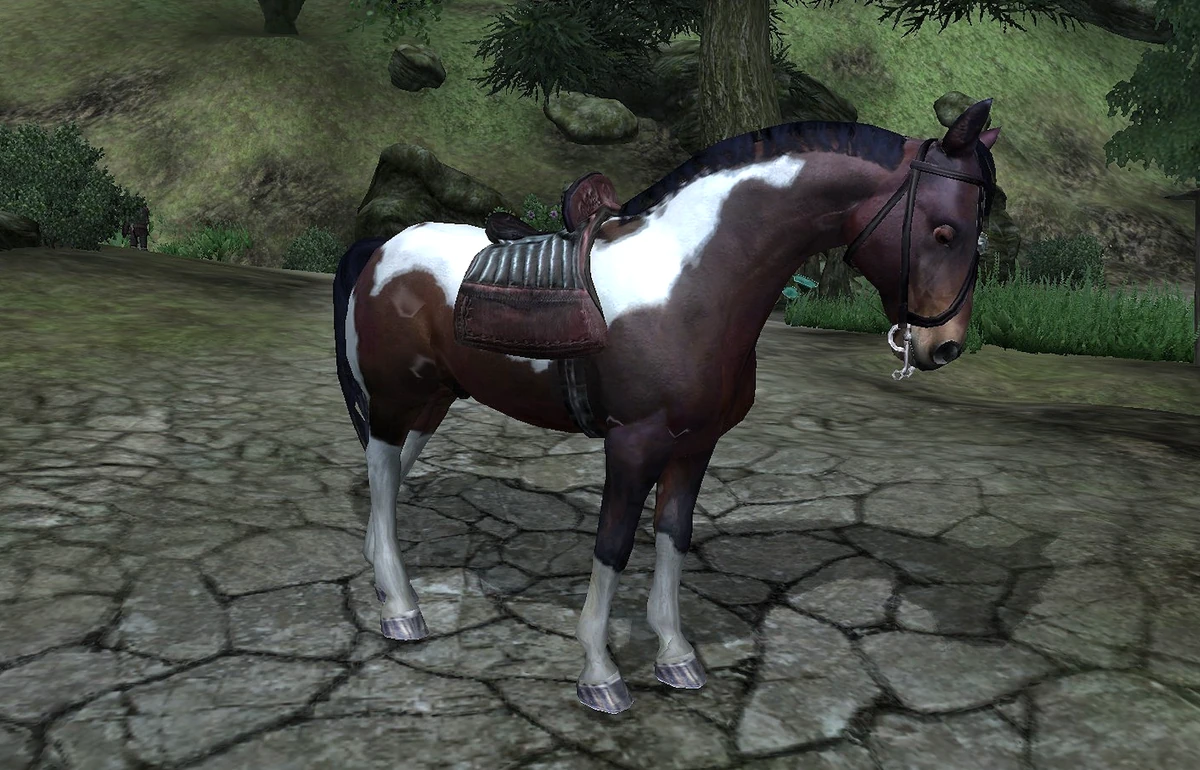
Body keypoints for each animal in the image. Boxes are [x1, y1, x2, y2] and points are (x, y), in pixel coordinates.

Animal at [333, 99, 999, 714]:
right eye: (943, 231)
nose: (945, 346)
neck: (691, 280)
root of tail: (380, 247)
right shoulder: (634, 442)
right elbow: (614, 545)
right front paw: (600, 673)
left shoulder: (695, 445)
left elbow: (674, 537)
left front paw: (676, 657)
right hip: (396, 399)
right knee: (383, 474)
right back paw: (401, 609)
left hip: (433, 400)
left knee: (390, 473)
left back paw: (381, 579)